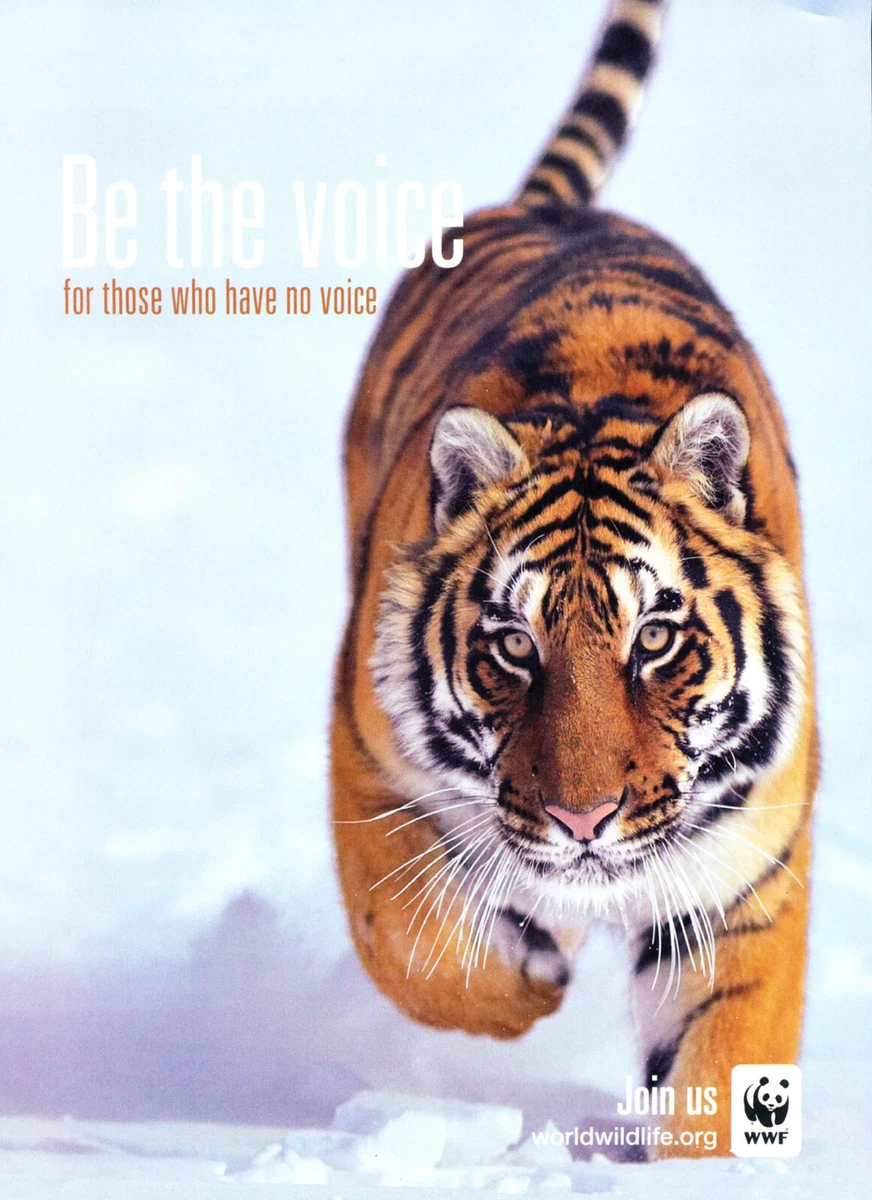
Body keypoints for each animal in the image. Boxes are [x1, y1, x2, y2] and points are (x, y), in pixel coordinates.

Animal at [330, 0, 816, 1159]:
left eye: (656, 640)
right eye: (514, 645)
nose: (582, 823)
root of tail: (540, 207)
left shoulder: (747, 874)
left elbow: (721, 1068)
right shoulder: (362, 757)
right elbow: (411, 941)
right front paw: (528, 976)